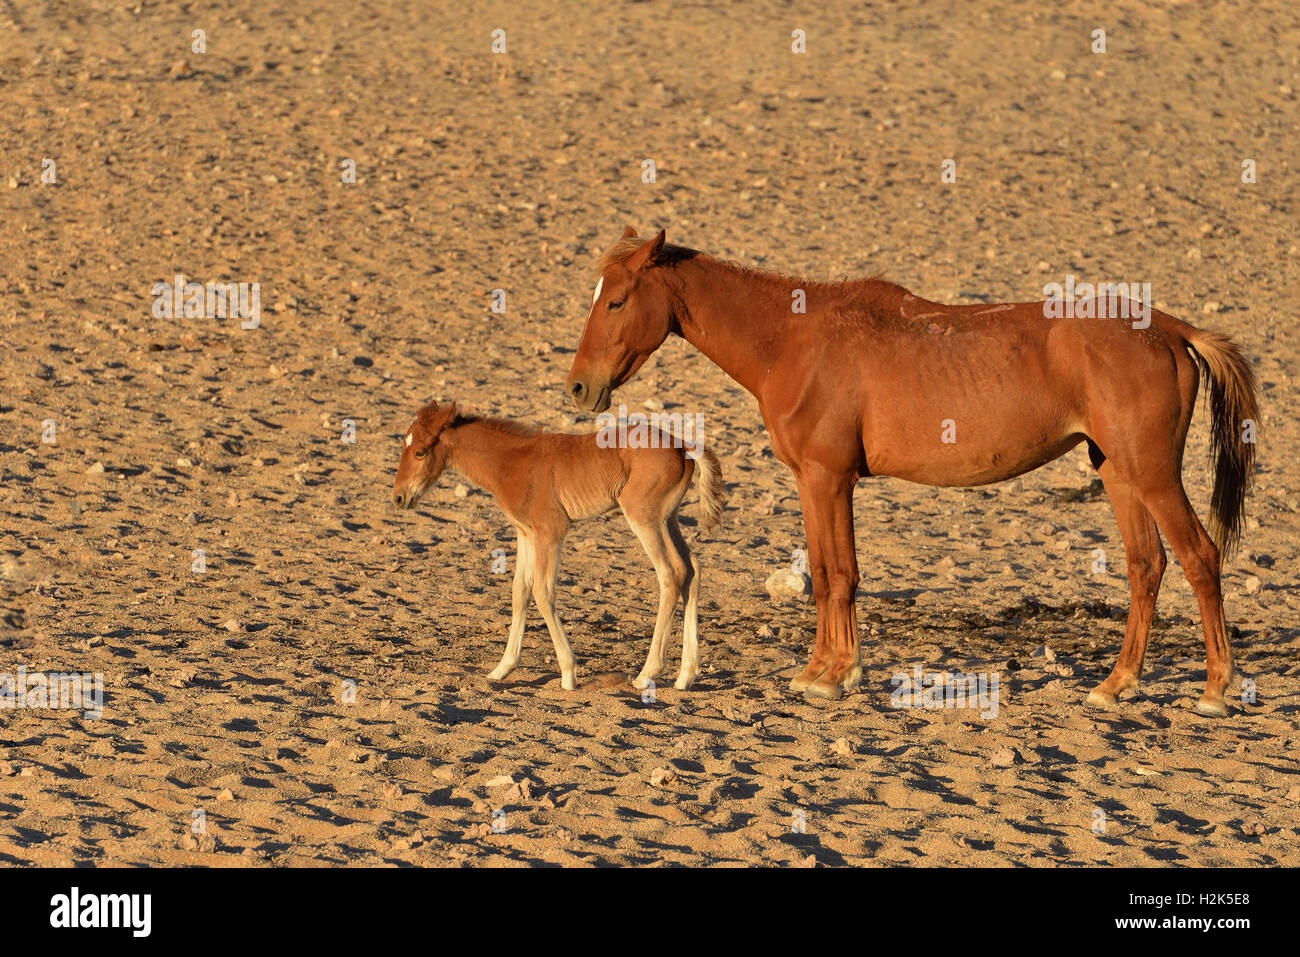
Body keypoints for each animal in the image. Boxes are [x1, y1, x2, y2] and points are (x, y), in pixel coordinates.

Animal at [392, 399, 728, 691]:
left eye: (420, 452)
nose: (399, 497)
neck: (513, 462)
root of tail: (683, 447)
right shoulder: (526, 534)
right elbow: (520, 591)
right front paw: (502, 669)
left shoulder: (550, 532)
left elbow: (542, 592)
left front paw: (568, 674)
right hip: (667, 518)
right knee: (692, 569)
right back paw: (685, 676)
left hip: (644, 516)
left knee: (672, 572)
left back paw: (648, 673)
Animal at [564, 227, 1259, 717]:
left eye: (617, 300)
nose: (579, 388)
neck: (793, 338)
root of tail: (1170, 329)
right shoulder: (815, 483)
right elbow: (827, 573)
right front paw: (823, 670)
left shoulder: (827, 478)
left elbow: (837, 575)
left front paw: (832, 677)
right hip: (1119, 474)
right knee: (1147, 567)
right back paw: (1117, 684)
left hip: (1153, 475)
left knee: (1199, 557)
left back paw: (1214, 690)